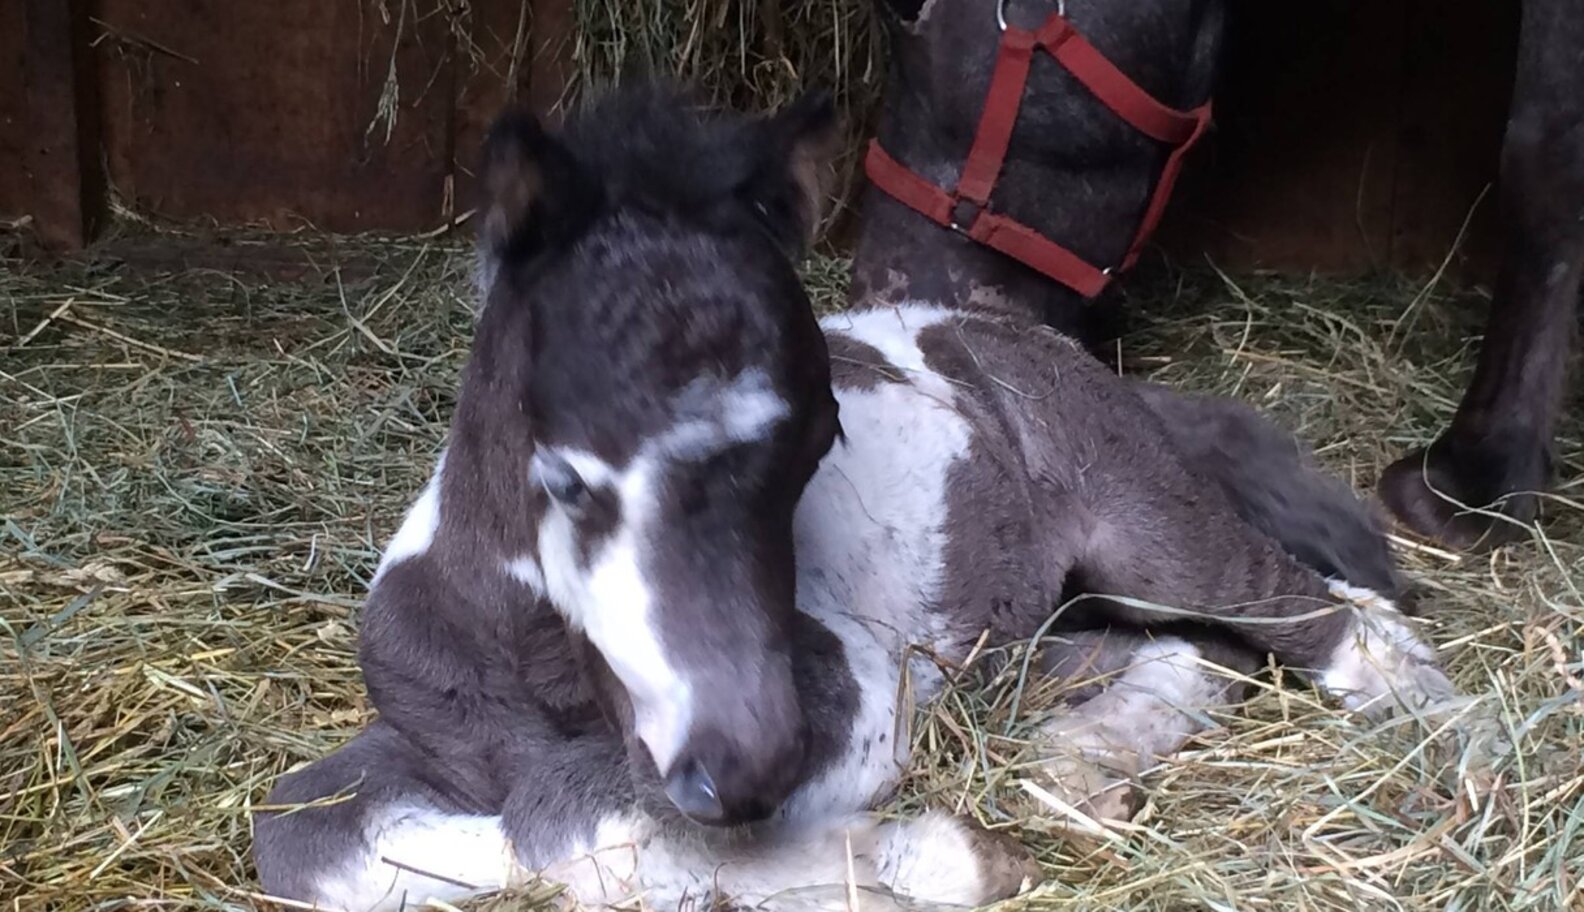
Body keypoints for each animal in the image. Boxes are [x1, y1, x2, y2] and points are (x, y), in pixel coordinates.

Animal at [252, 88, 1461, 912]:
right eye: (565, 477)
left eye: (818, 444)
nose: (741, 770)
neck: (535, 673)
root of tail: (1023, 339)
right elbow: (303, 840)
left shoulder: (851, 699)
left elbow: (590, 824)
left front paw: (940, 855)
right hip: (1026, 637)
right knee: (1179, 656)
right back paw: (1085, 764)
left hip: (1148, 531)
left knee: (1317, 614)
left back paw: (1454, 733)